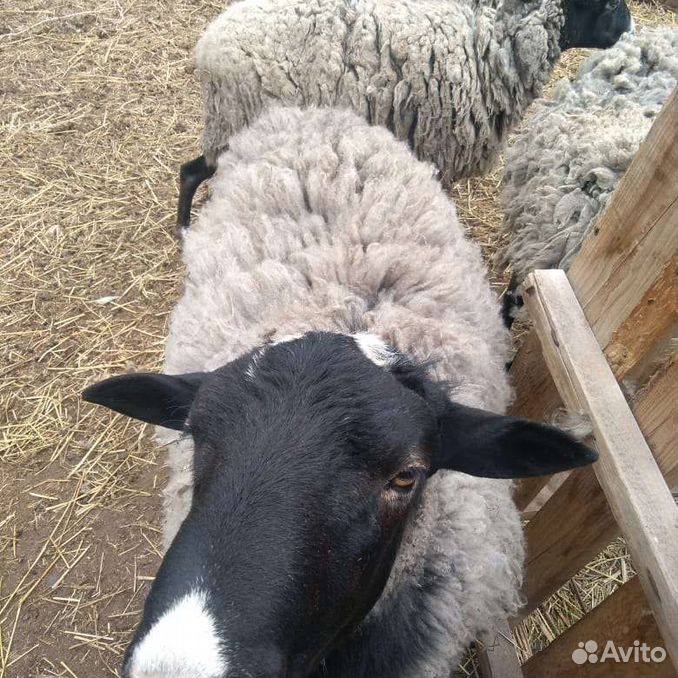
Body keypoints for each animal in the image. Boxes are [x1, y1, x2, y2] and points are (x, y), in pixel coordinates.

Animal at [175, 0, 632, 229]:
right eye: (610, 4)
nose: (629, 29)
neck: (494, 36)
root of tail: (209, 45)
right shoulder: (438, 148)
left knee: (191, 170)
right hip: (239, 121)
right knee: (192, 172)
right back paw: (185, 229)